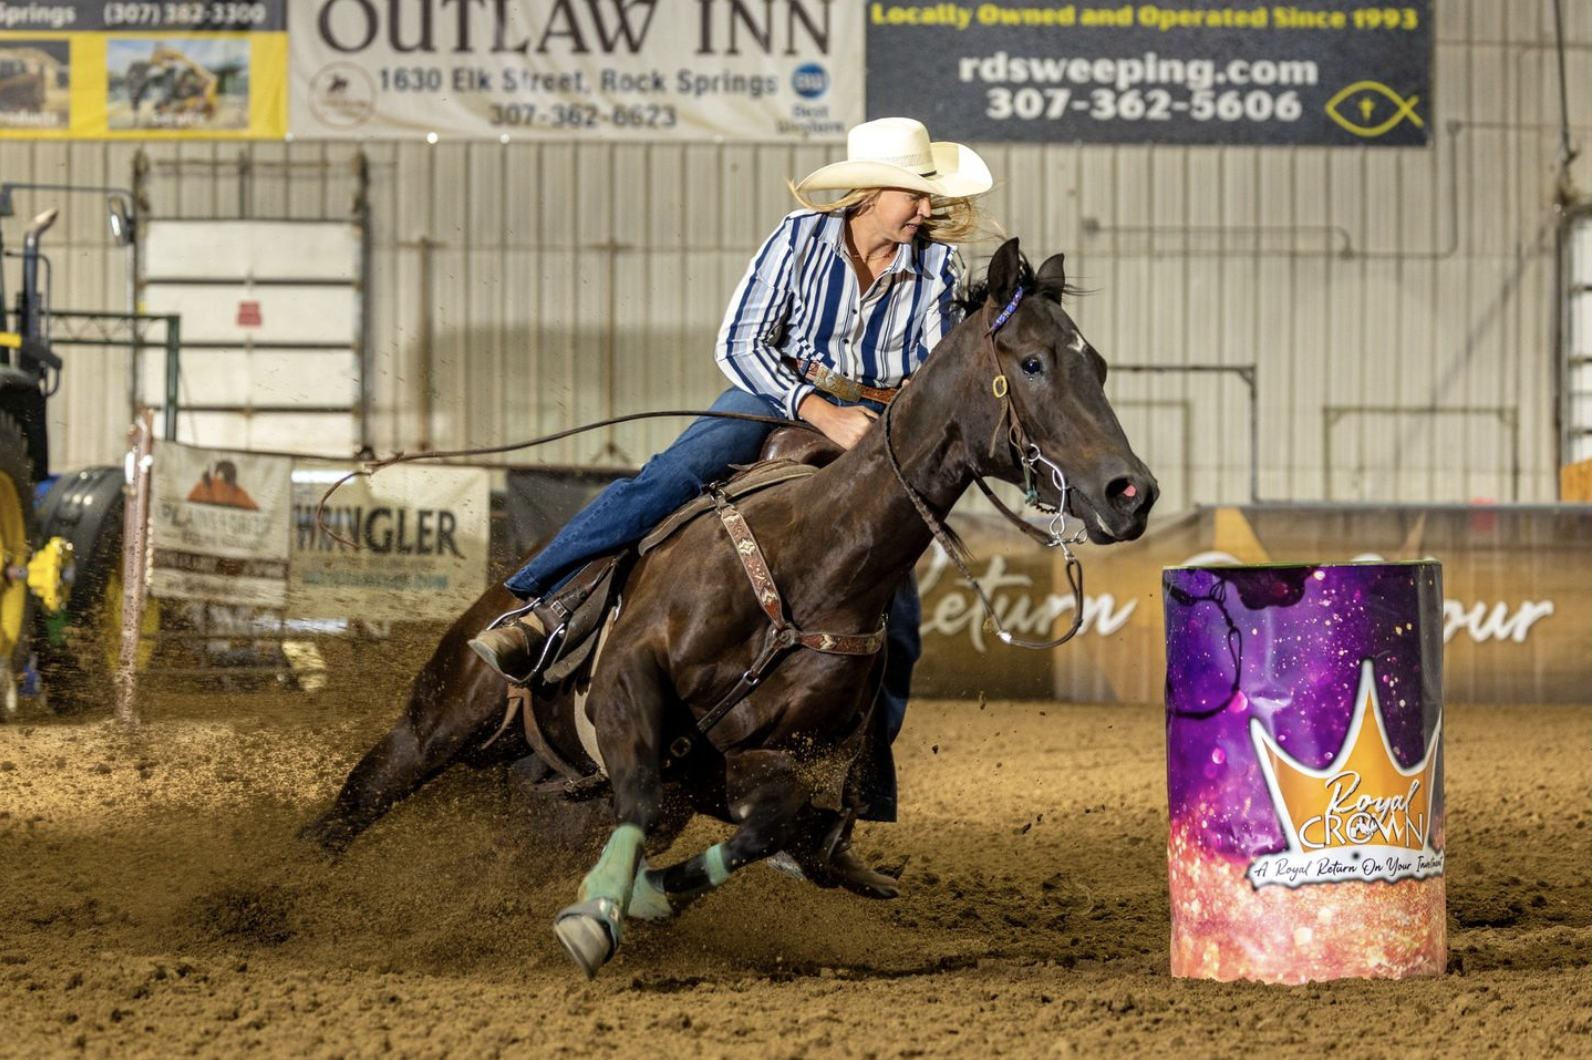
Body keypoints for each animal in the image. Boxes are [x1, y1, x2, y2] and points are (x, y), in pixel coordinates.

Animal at [301, 237, 1159, 977]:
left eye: (1099, 364)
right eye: (1033, 362)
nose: (1133, 492)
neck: (810, 562)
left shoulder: (731, 767)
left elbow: (769, 820)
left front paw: (642, 898)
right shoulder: (627, 683)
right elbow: (649, 787)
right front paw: (594, 920)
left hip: (553, 801)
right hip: (435, 725)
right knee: (346, 813)